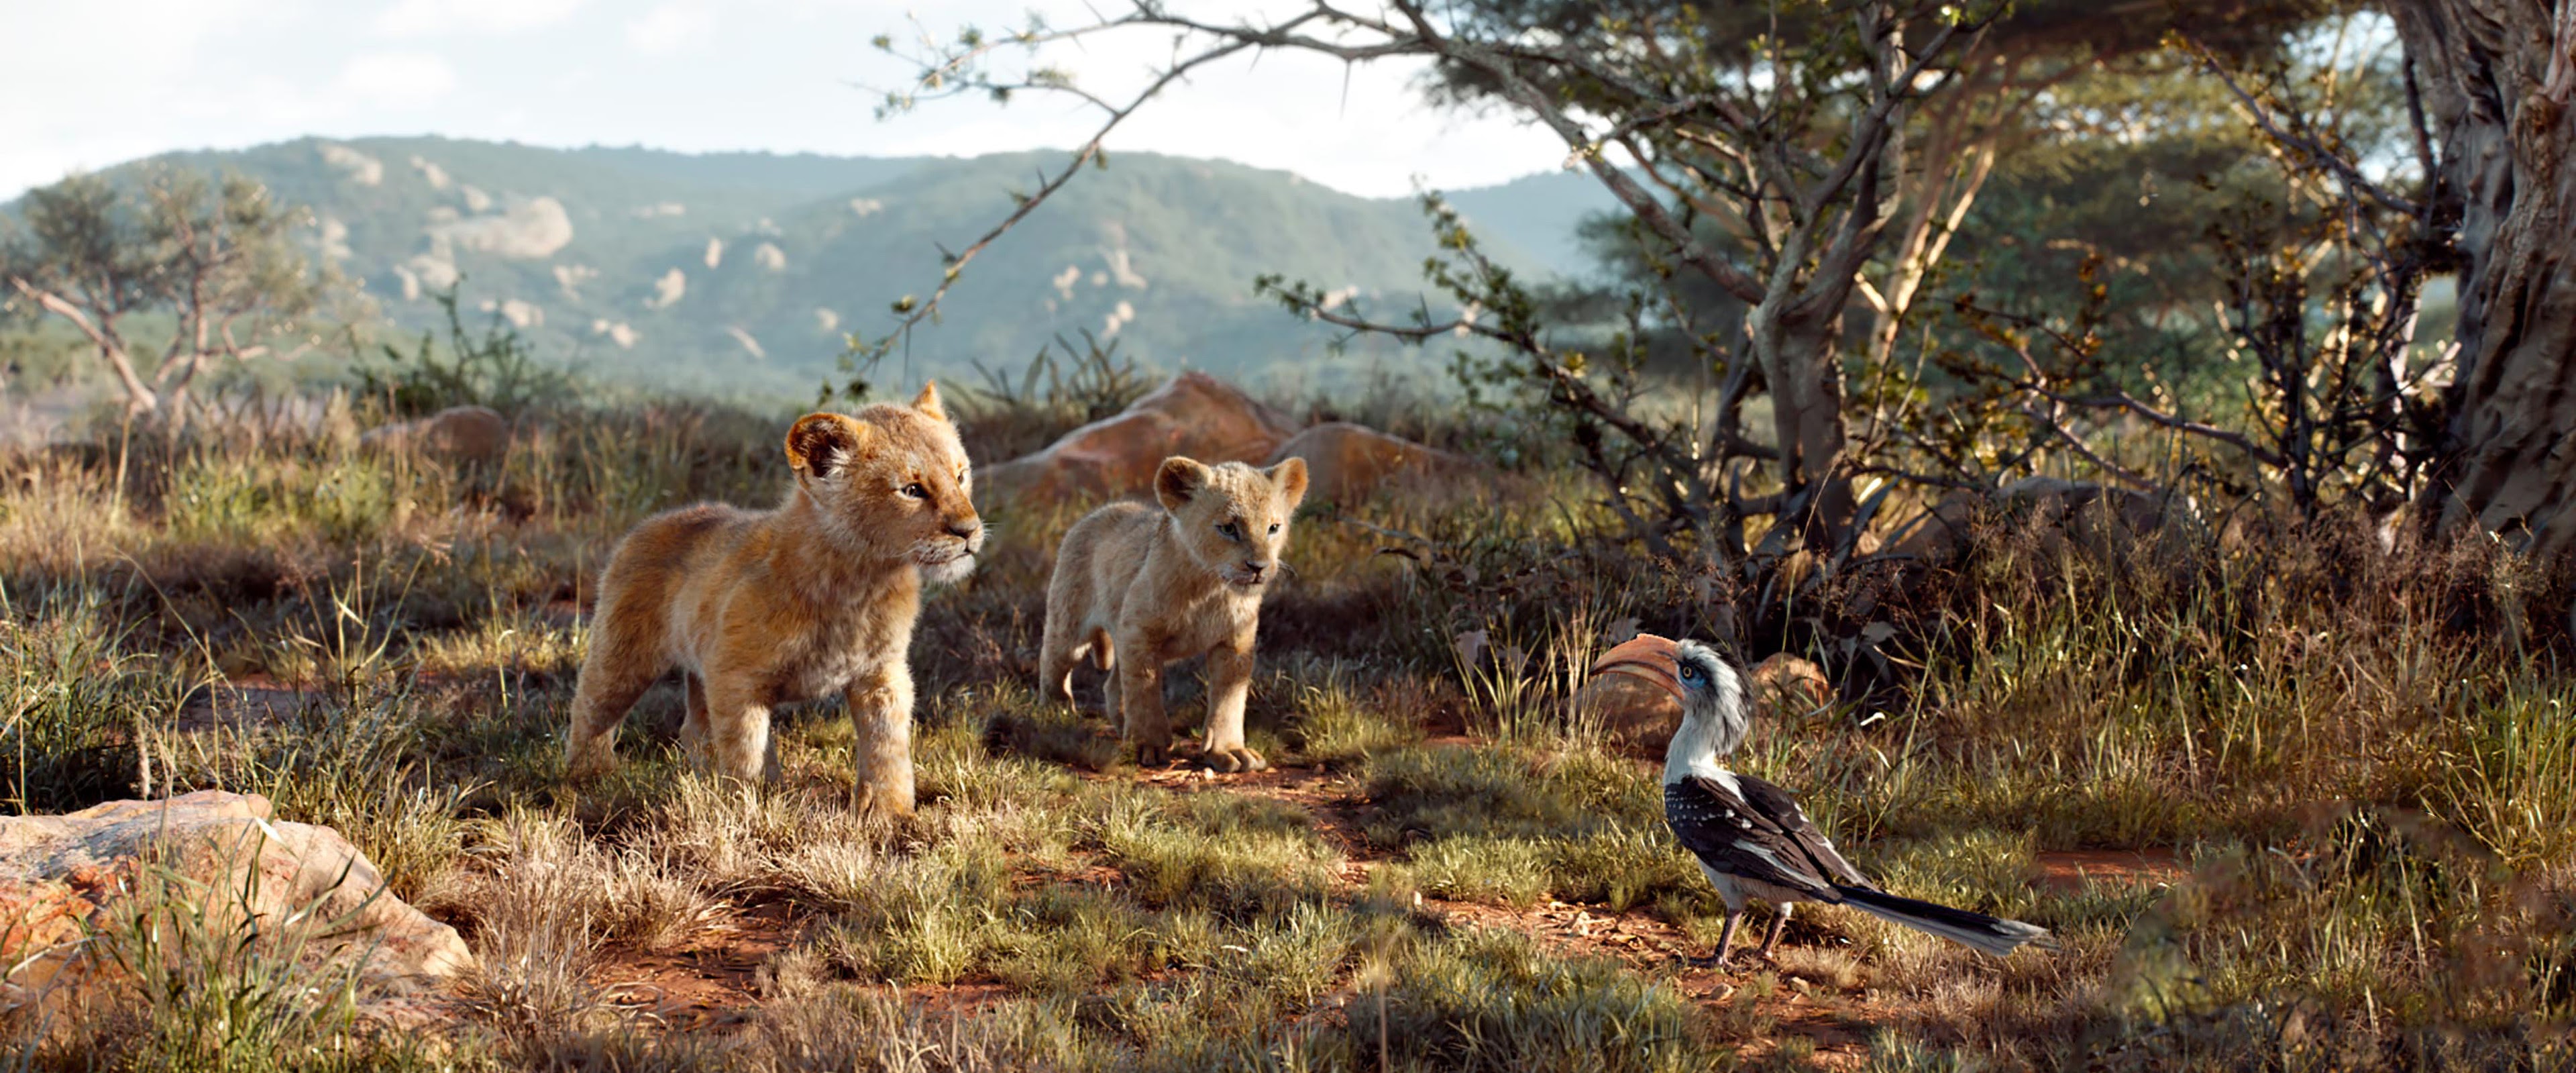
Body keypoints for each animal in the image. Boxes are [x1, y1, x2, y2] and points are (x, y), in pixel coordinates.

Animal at [560, 383, 982, 816]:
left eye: (961, 475)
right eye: (913, 490)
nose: (969, 531)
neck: (860, 584)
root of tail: (649, 524)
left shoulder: (882, 673)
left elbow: (888, 746)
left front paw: (889, 814)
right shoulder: (736, 677)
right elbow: (746, 751)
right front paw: (747, 807)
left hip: (697, 665)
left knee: (694, 729)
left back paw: (702, 780)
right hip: (623, 655)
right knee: (591, 708)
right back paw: (589, 777)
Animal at [1037, 455, 1308, 771]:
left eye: (1273, 528)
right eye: (1229, 529)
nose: (1258, 567)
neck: (1210, 589)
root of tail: (1098, 512)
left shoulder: (1235, 643)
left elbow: (1230, 699)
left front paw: (1229, 751)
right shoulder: (1138, 634)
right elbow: (1144, 690)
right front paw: (1149, 746)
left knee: (1112, 687)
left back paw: (1122, 726)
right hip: (1070, 623)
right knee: (1054, 659)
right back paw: (1056, 713)